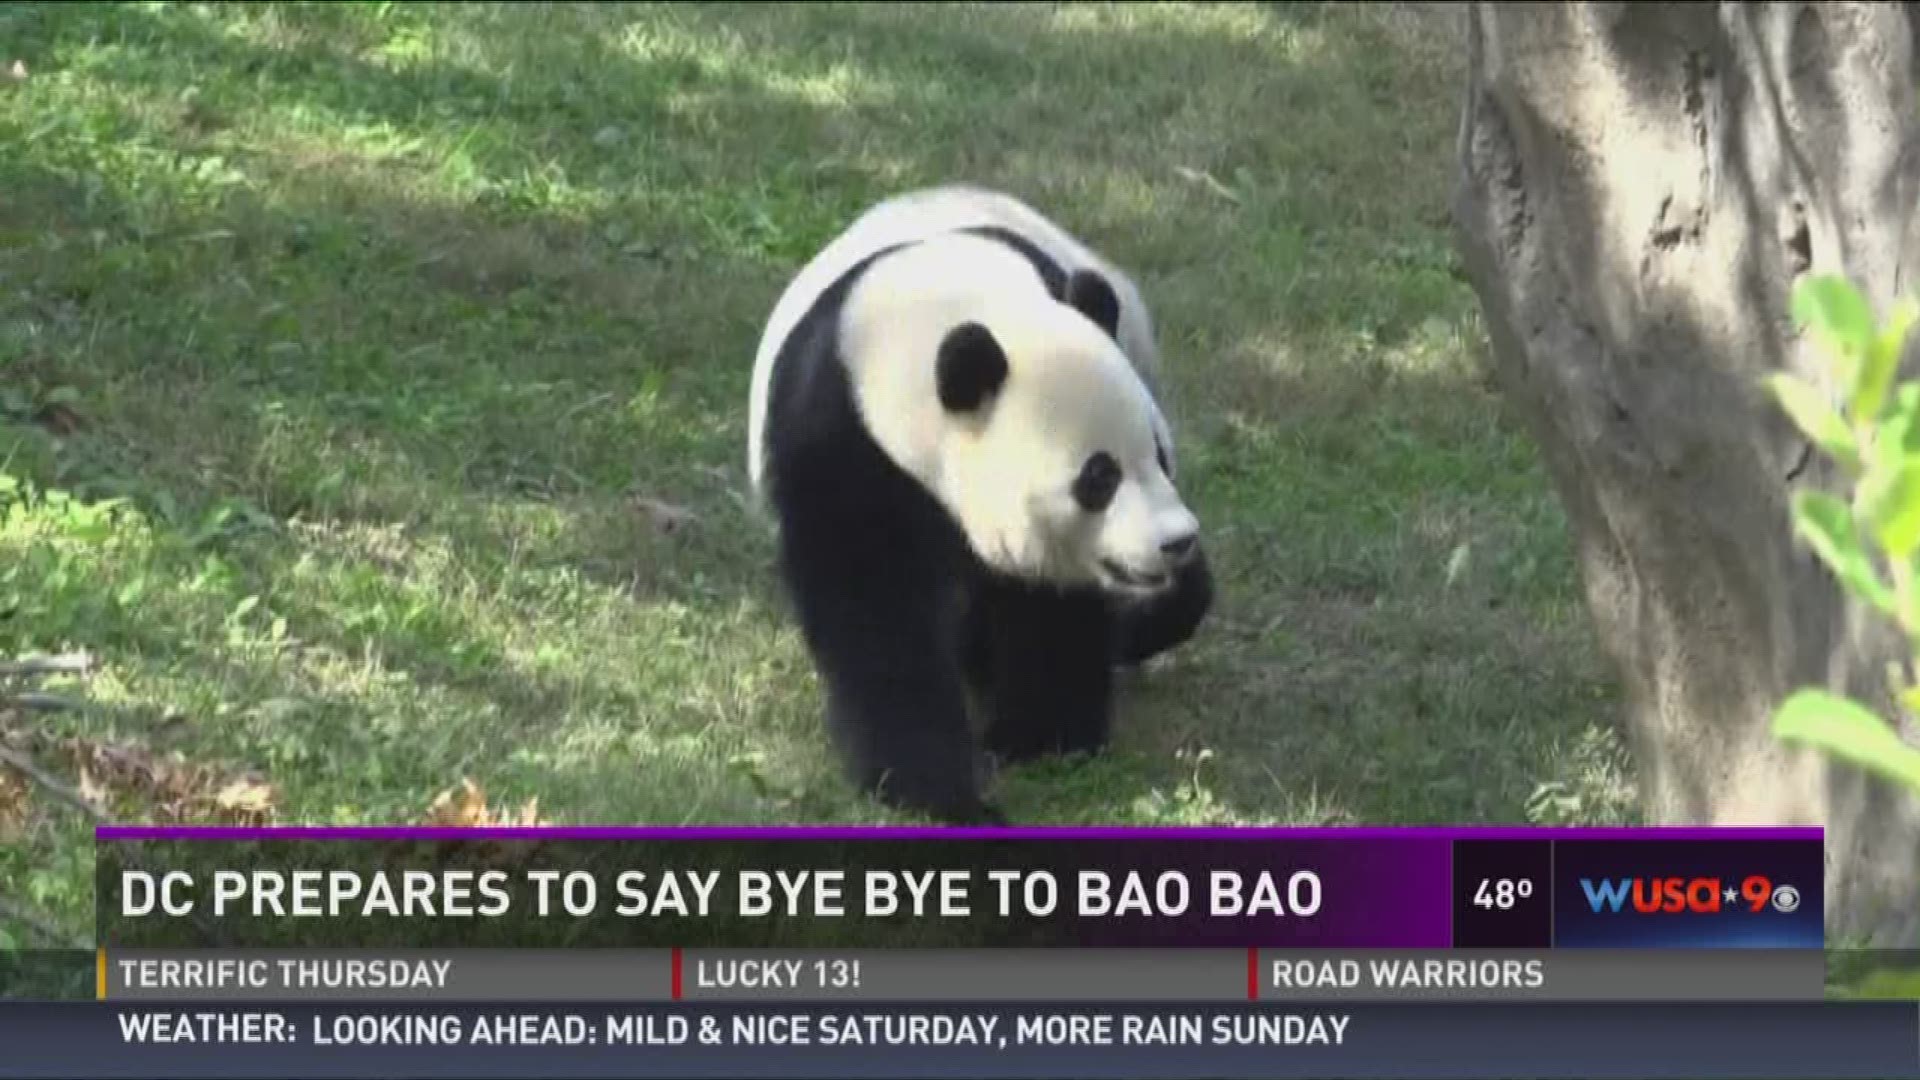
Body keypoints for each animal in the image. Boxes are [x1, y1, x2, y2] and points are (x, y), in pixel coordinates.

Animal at [749, 193, 1214, 825]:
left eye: (1161, 455)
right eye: (1100, 477)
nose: (1177, 542)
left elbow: (1049, 610)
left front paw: (1041, 738)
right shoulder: (842, 444)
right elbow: (879, 620)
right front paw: (942, 793)